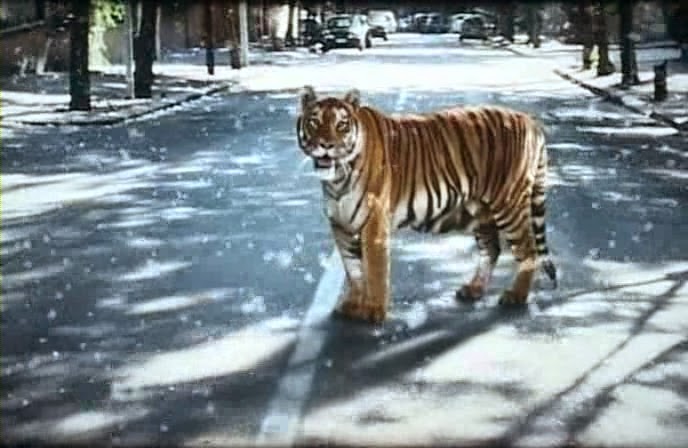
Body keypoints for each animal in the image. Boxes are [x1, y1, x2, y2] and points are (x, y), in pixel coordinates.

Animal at [296, 85, 557, 323]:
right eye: (314, 122)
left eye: (341, 125)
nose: (326, 145)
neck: (337, 179)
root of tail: (529, 120)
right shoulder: (341, 225)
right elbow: (353, 269)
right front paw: (352, 304)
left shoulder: (374, 222)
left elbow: (375, 267)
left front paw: (374, 311)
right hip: (480, 209)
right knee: (491, 248)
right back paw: (473, 289)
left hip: (509, 203)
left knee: (528, 250)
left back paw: (516, 296)